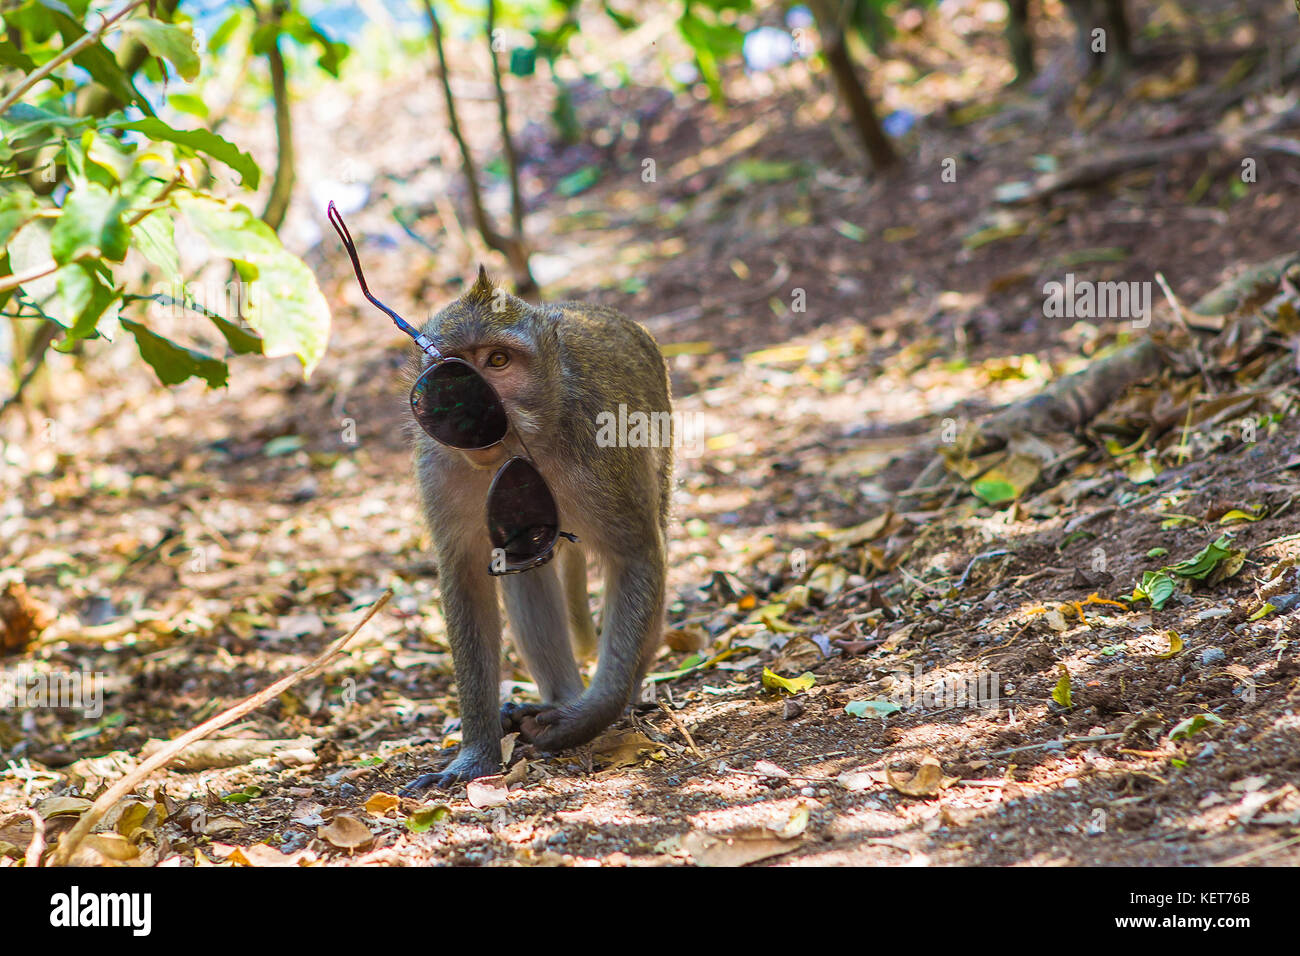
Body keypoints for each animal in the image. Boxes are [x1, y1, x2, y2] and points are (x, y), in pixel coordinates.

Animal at [400, 269, 672, 792]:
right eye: (451, 376)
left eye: (498, 361)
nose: (472, 413)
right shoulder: (436, 469)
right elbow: (467, 575)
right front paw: (475, 752)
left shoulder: (602, 447)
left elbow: (637, 554)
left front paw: (590, 716)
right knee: (522, 564)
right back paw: (560, 696)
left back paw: (612, 700)